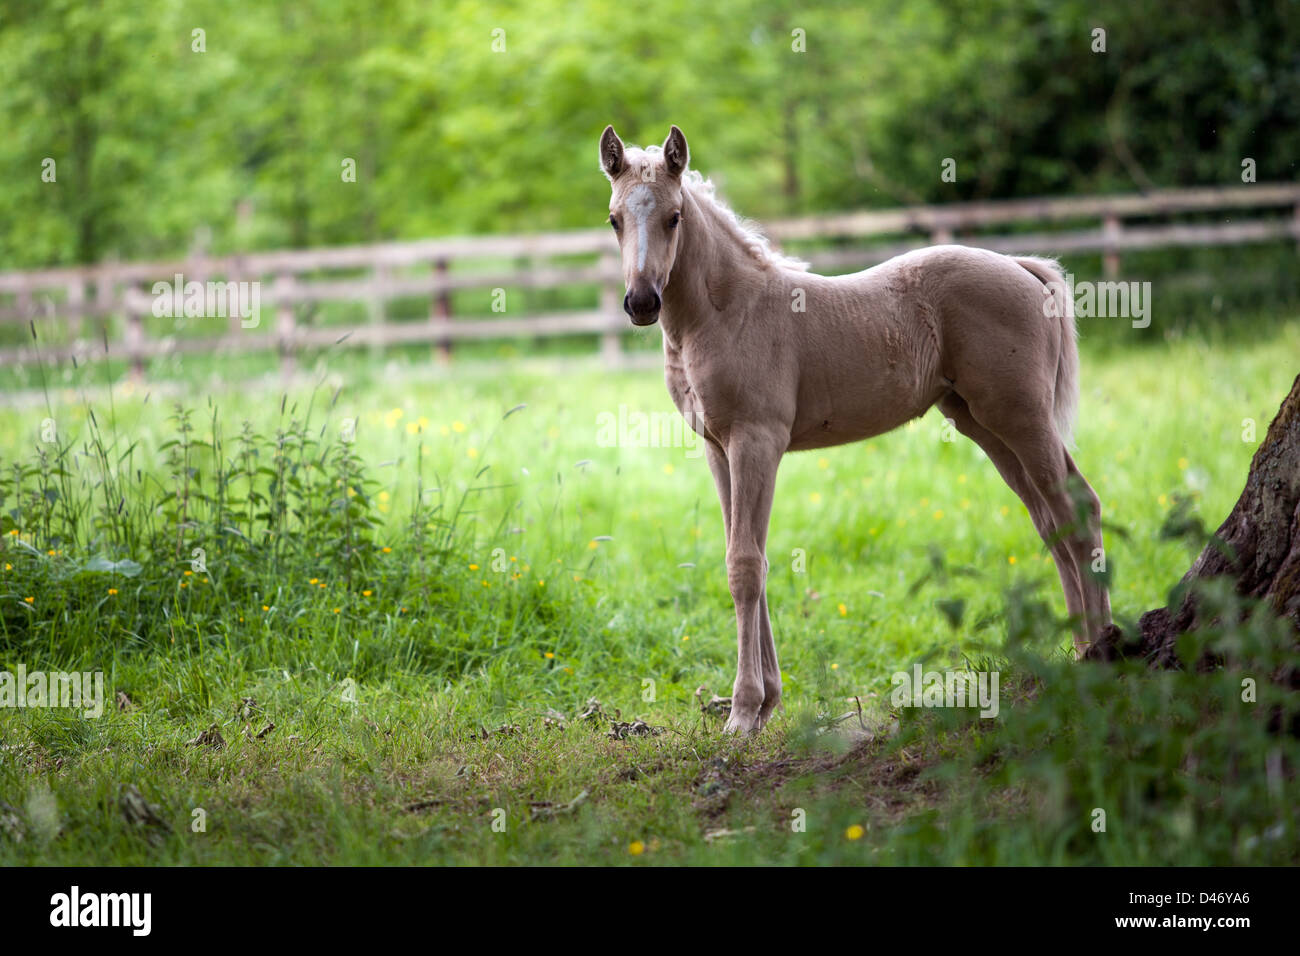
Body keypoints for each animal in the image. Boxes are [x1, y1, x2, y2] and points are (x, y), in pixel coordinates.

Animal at [598, 125, 1111, 734]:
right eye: (614, 219)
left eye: (674, 216)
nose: (641, 302)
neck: (724, 312)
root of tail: (1022, 268)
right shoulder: (718, 448)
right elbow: (749, 554)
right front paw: (768, 702)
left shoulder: (756, 441)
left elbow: (745, 565)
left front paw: (743, 713)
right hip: (982, 423)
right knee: (1052, 518)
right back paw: (1077, 650)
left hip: (1021, 415)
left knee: (1079, 507)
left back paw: (1100, 647)